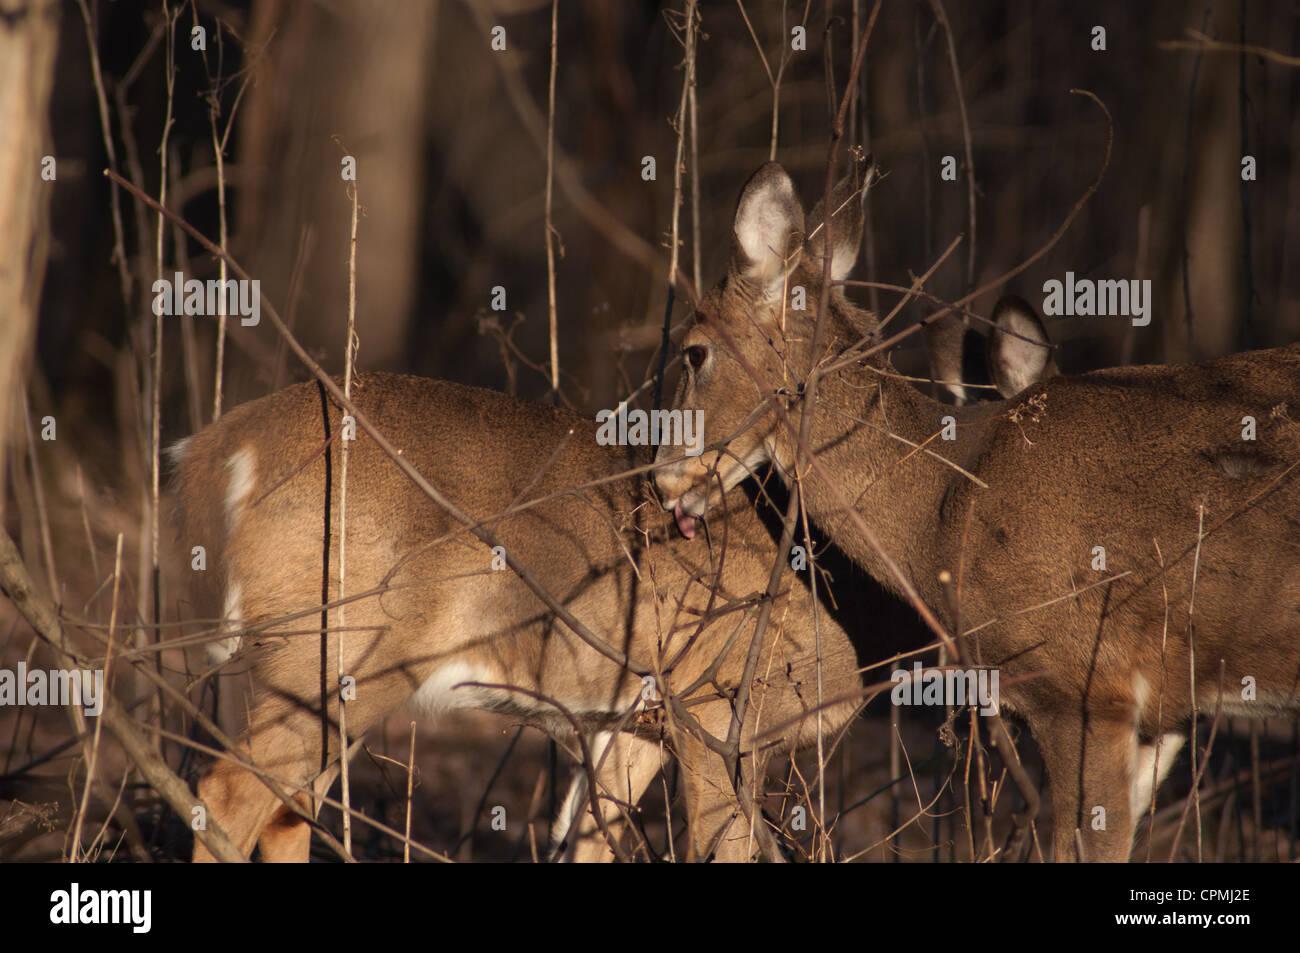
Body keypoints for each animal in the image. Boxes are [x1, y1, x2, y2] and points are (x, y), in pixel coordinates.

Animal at [172, 373, 861, 862]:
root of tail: (221, 445)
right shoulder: (725, 714)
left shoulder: (638, 725)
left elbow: (584, 841)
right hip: (340, 651)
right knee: (227, 794)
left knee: (285, 812)